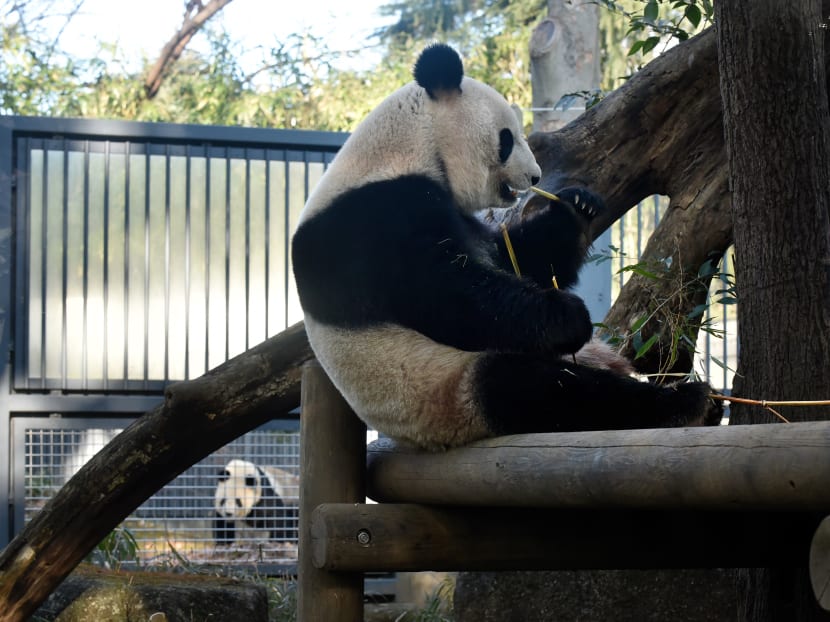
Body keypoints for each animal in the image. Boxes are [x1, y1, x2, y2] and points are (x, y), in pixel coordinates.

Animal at [291, 43, 720, 451]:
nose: (535, 176)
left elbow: (518, 258)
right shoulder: (372, 222)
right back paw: (686, 403)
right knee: (540, 389)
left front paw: (576, 206)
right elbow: (451, 295)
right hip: (444, 387)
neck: (404, 147)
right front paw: (569, 315)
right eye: (507, 138)